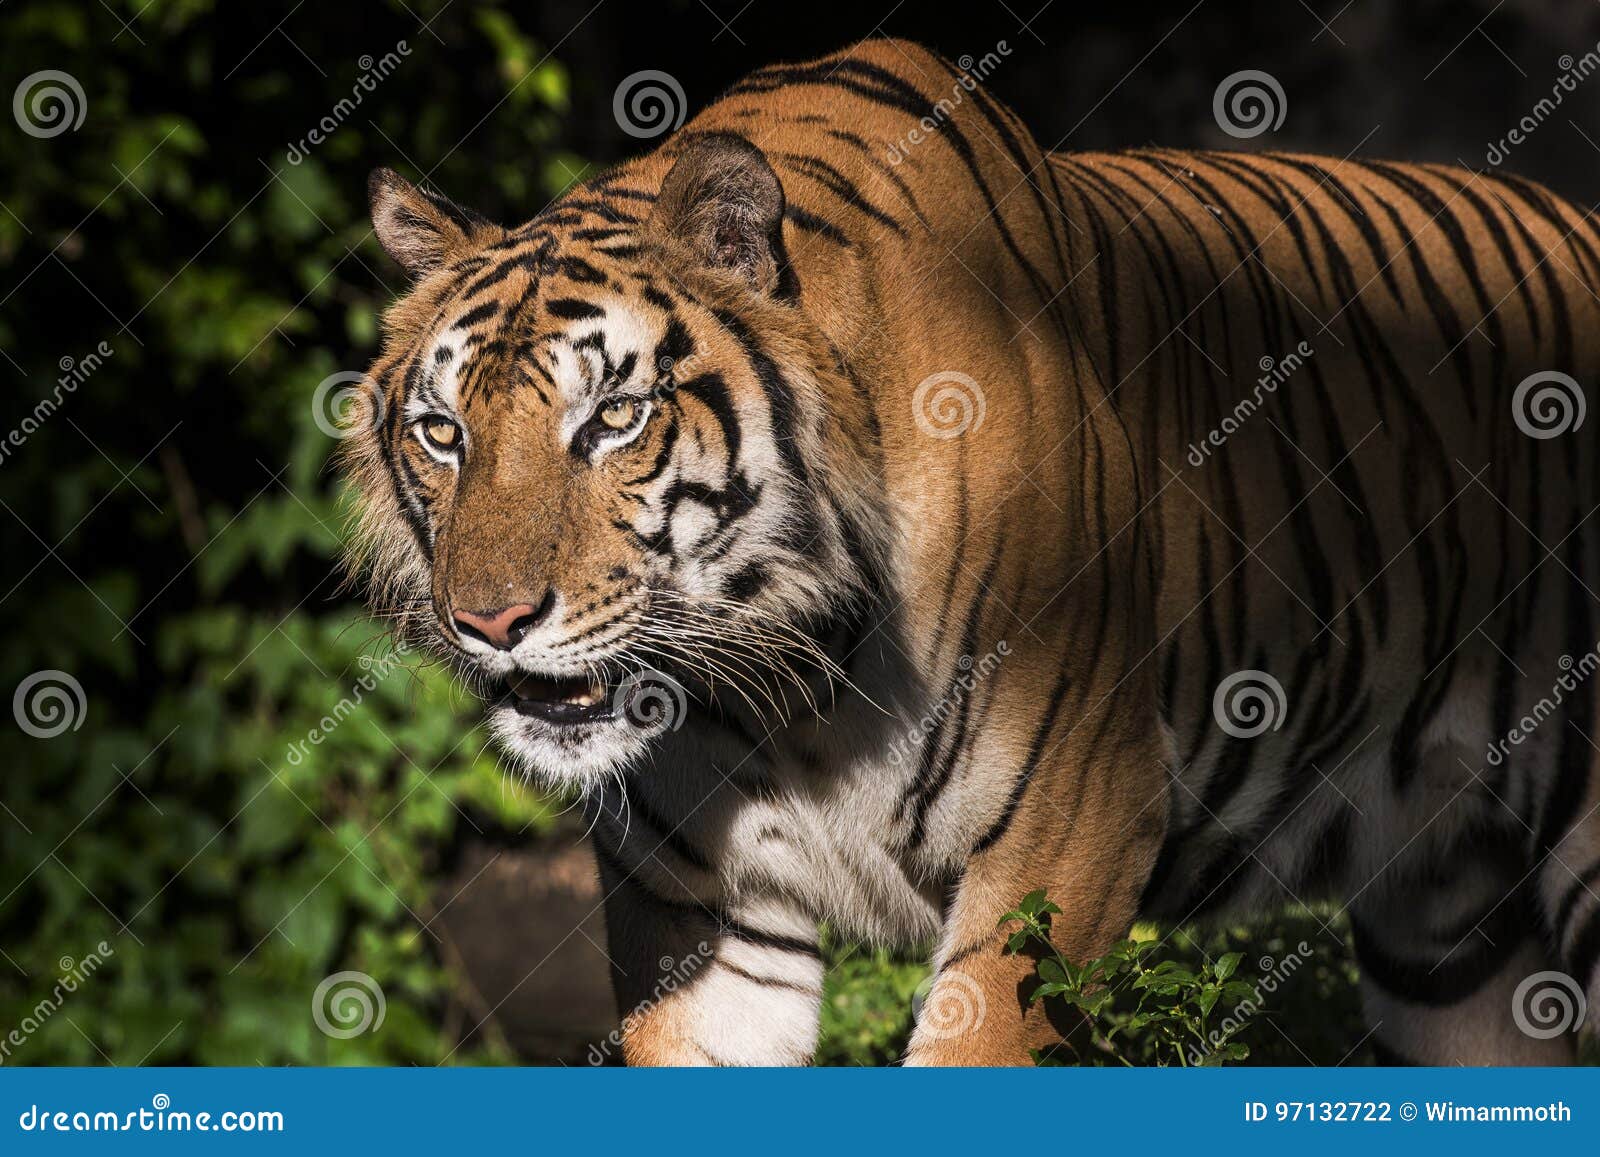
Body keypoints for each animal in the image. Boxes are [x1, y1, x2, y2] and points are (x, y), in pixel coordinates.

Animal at [342, 37, 1600, 1065]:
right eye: (443, 432)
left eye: (611, 418)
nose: (490, 622)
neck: (789, 680)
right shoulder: (696, 906)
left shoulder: (1068, 831)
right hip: (1452, 939)